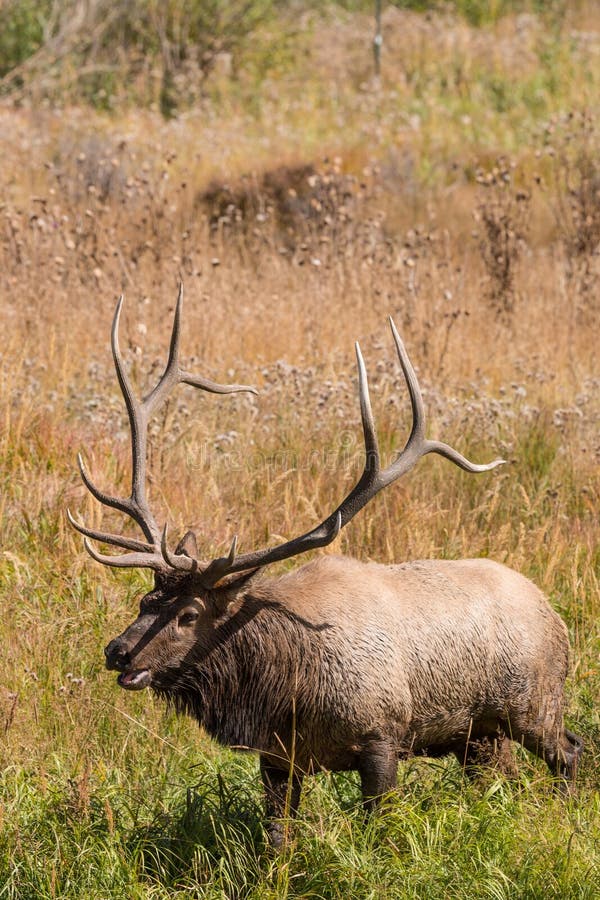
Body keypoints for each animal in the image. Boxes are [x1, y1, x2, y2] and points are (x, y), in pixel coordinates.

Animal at [69, 286, 583, 847]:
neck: (286, 688)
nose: (117, 651)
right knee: (498, 777)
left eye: (189, 615)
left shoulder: (382, 735)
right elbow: (277, 840)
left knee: (570, 751)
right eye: (145, 600)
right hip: (478, 735)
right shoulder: (278, 758)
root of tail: (554, 613)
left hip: (534, 703)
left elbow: (381, 825)